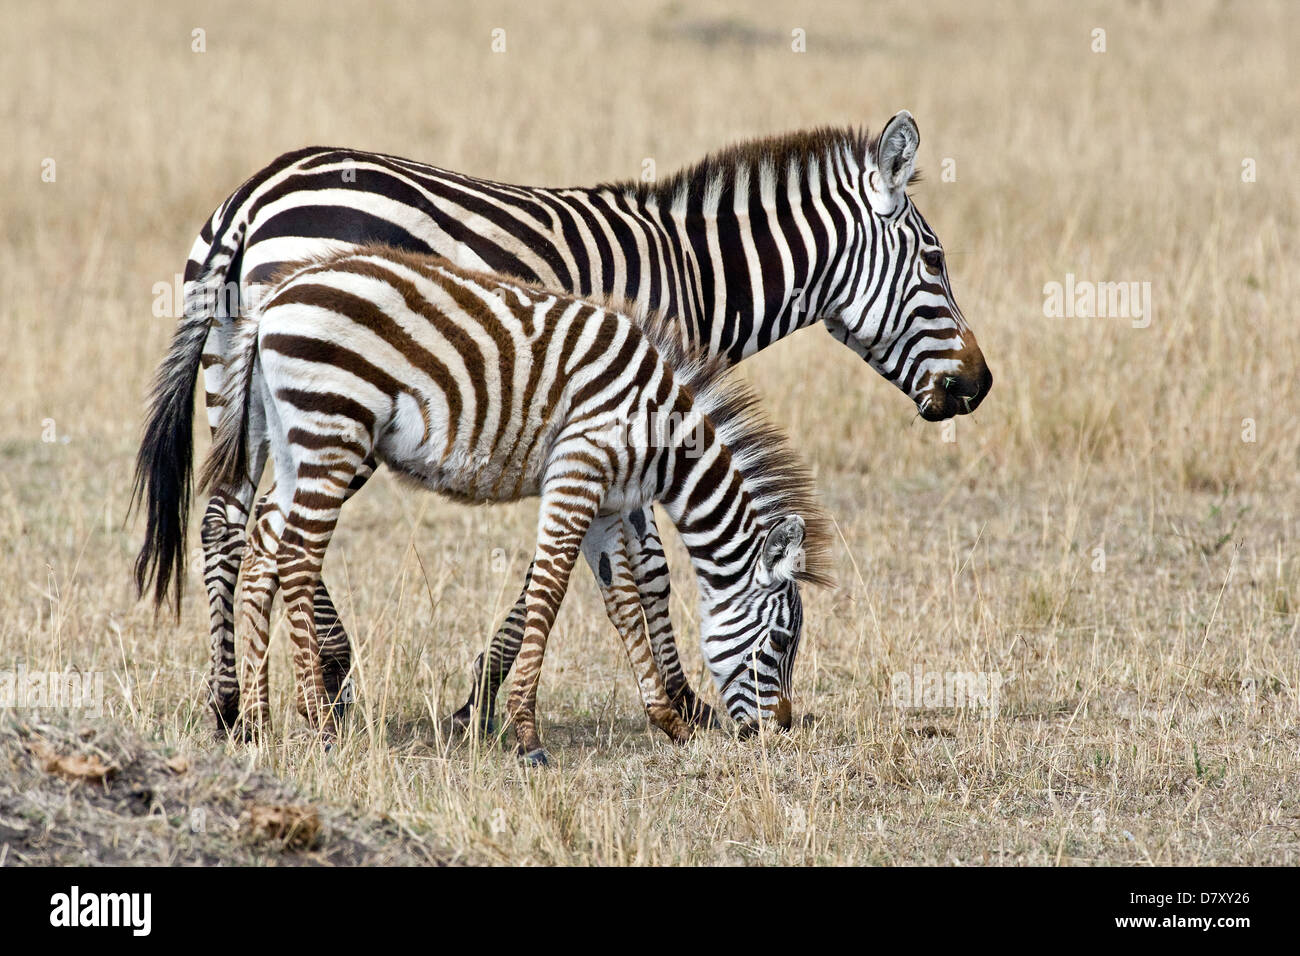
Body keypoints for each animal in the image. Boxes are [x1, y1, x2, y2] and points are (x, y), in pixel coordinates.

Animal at [194, 245, 834, 761]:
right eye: (782, 643)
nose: (780, 732)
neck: (663, 430)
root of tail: (274, 299)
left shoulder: (607, 503)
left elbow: (623, 604)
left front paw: (669, 722)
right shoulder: (578, 468)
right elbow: (550, 593)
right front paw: (526, 735)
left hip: (291, 440)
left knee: (262, 549)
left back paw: (256, 721)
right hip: (334, 431)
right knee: (297, 558)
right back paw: (319, 723)